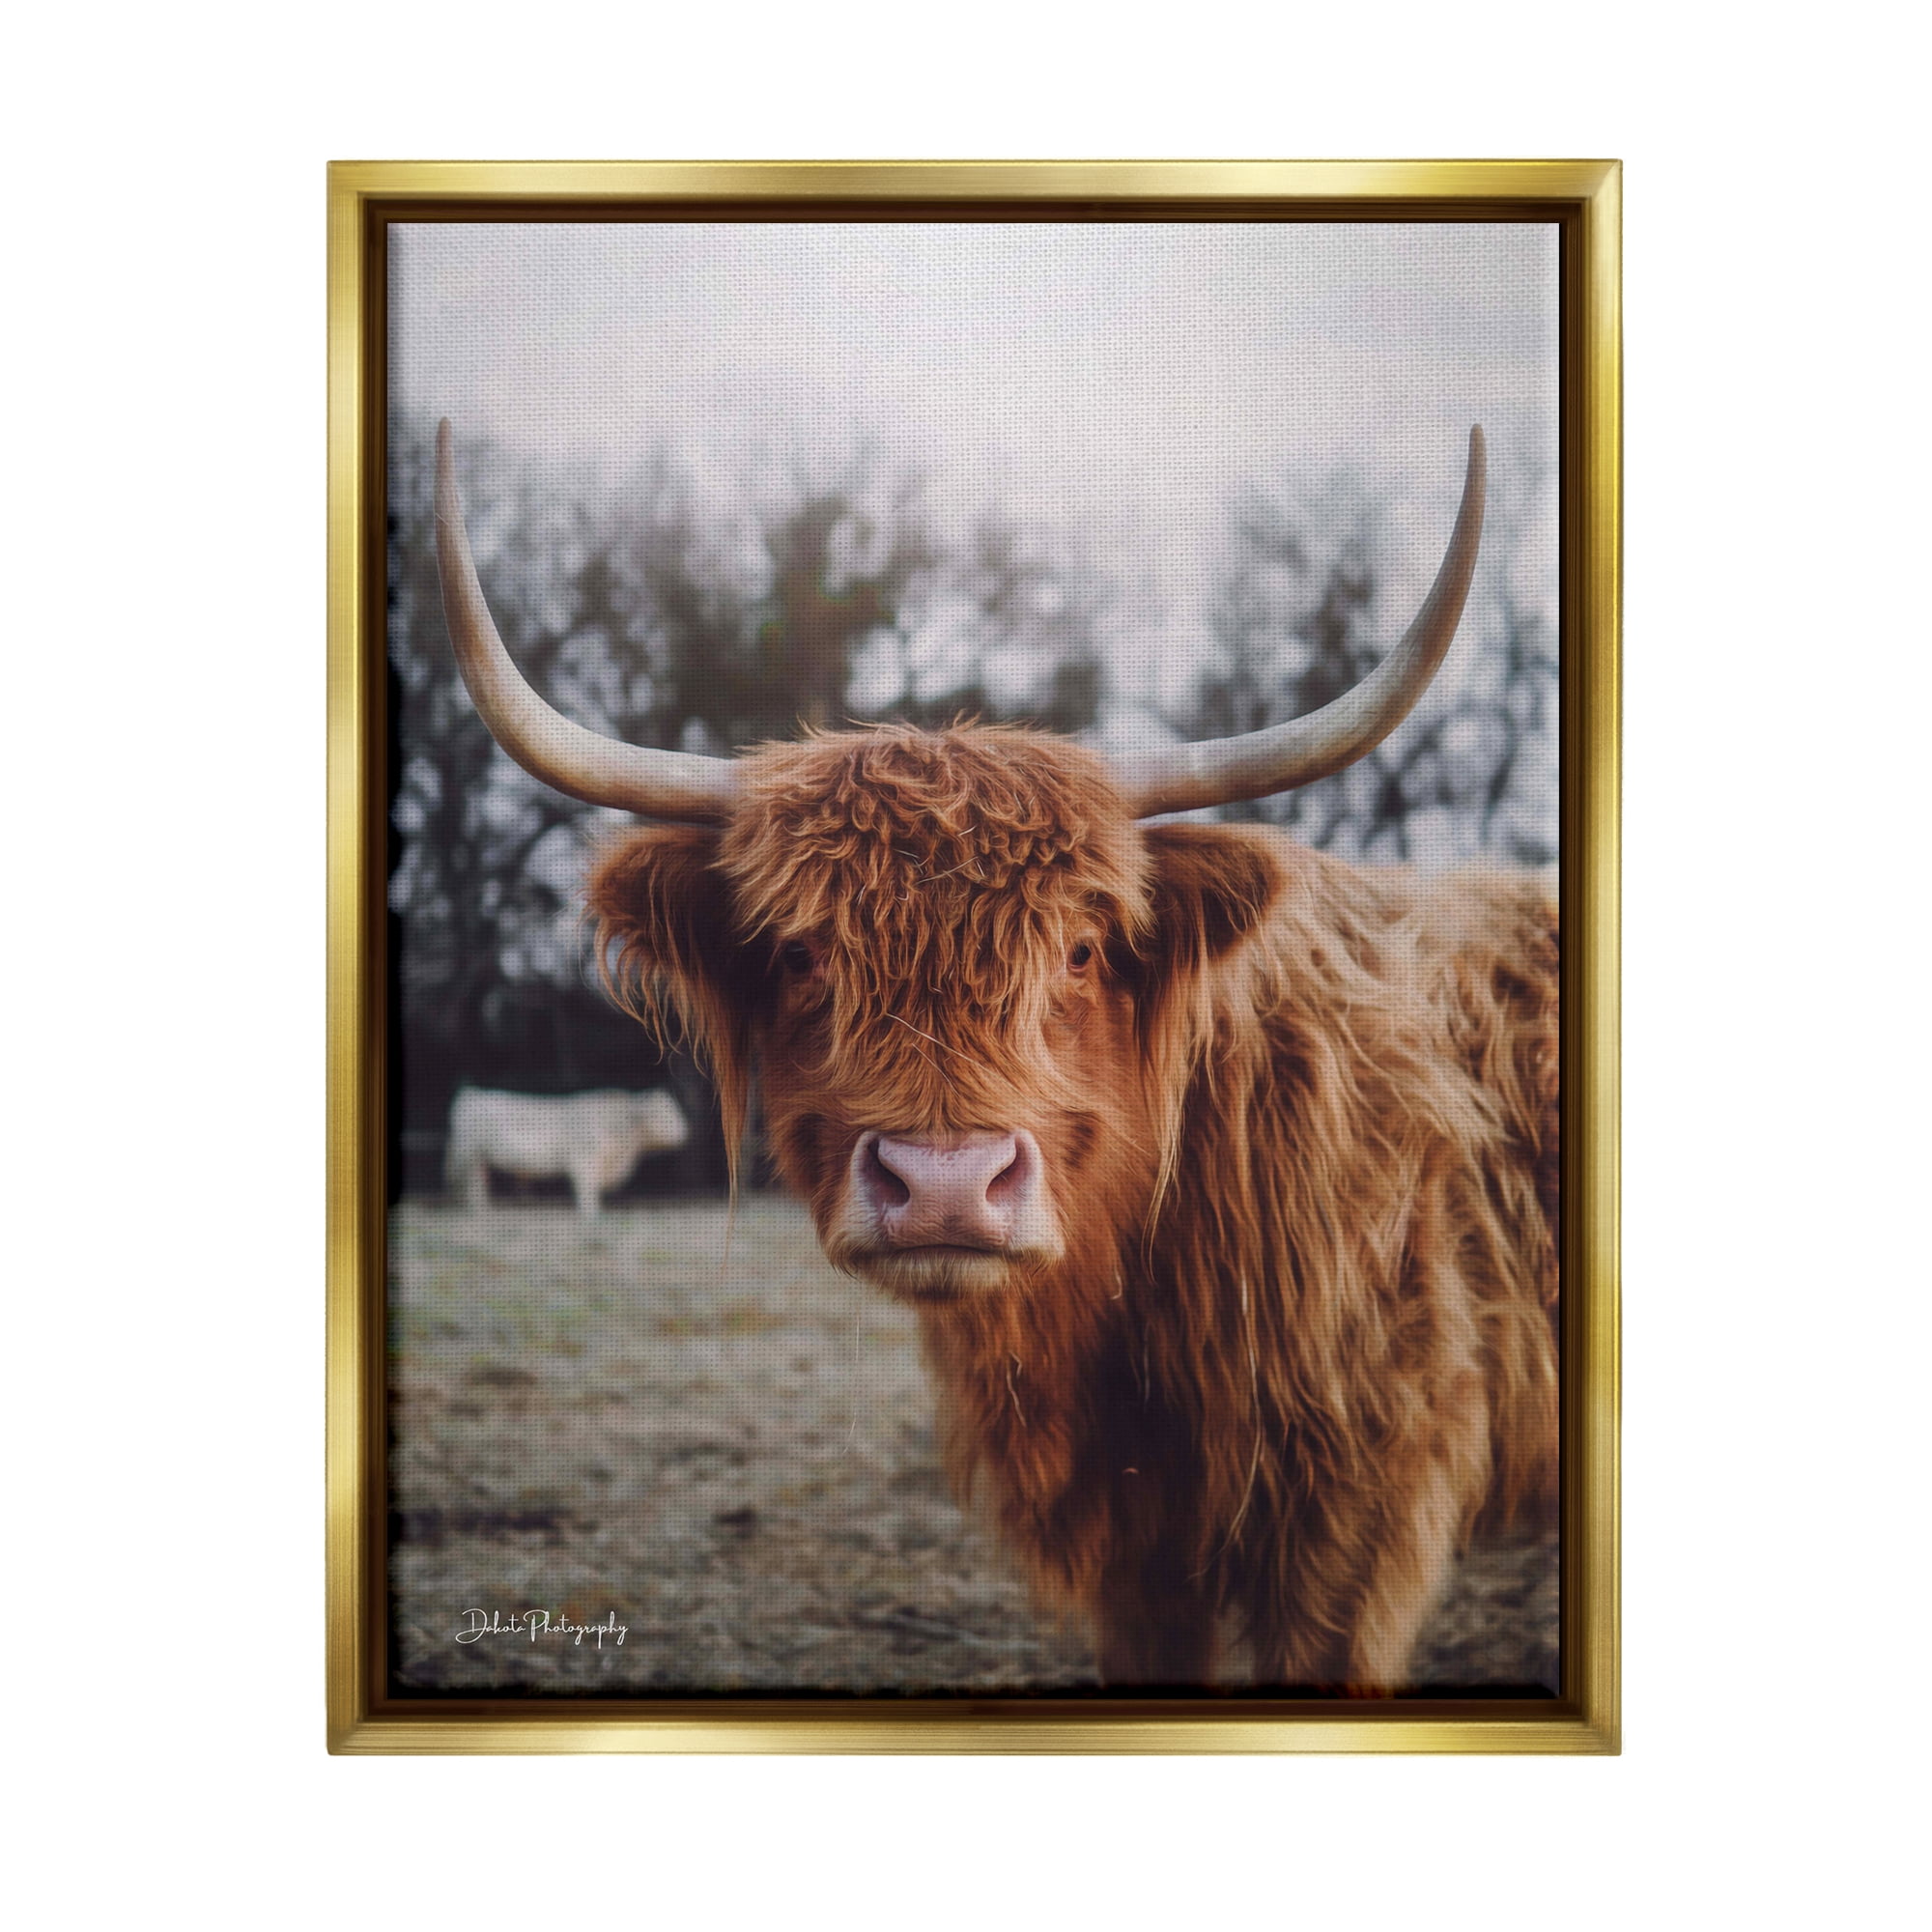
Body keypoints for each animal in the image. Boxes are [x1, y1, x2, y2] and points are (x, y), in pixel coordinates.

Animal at [444, 1085, 689, 1217]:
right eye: (662, 1115)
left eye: (675, 1110)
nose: (685, 1132)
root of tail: (472, 1093)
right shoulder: (583, 1162)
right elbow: (587, 1193)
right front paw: (591, 1216)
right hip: (470, 1154)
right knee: (471, 1186)